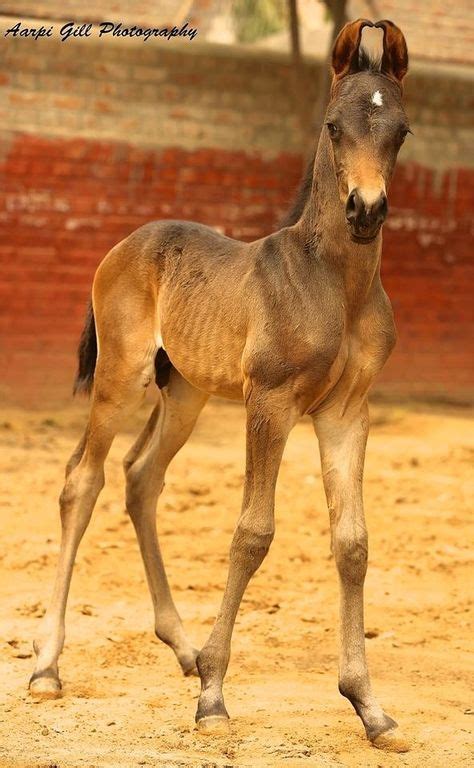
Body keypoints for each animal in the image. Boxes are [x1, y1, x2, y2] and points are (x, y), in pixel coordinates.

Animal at [29, 19, 411, 752]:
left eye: (401, 131)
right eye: (333, 127)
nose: (366, 210)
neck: (336, 286)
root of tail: (123, 244)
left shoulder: (348, 412)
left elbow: (352, 542)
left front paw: (370, 708)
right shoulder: (271, 402)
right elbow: (253, 533)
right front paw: (212, 696)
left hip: (185, 392)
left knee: (141, 477)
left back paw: (179, 647)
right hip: (120, 379)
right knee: (81, 481)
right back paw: (47, 666)